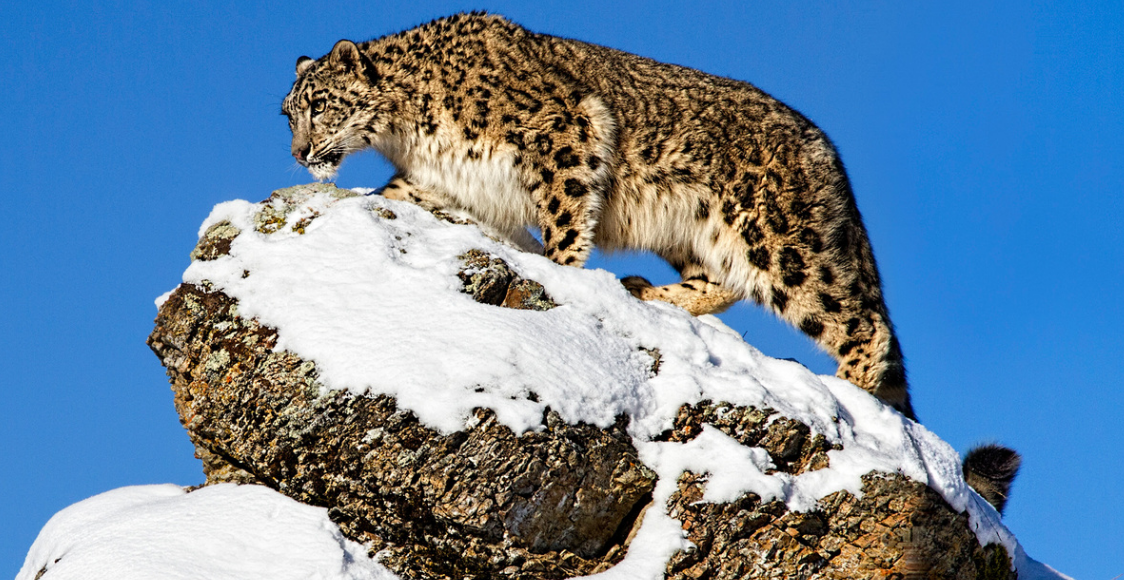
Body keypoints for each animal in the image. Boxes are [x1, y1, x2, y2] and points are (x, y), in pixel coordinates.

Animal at [281, 12, 1019, 513]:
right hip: (699, 234)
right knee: (723, 283)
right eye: (288, 112)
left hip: (783, 243)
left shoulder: (564, 132)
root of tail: (826, 152)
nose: (298, 152)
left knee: (860, 322)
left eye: (318, 106)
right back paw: (653, 294)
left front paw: (564, 271)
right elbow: (399, 198)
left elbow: (564, 216)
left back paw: (851, 397)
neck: (409, 133)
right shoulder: (443, 184)